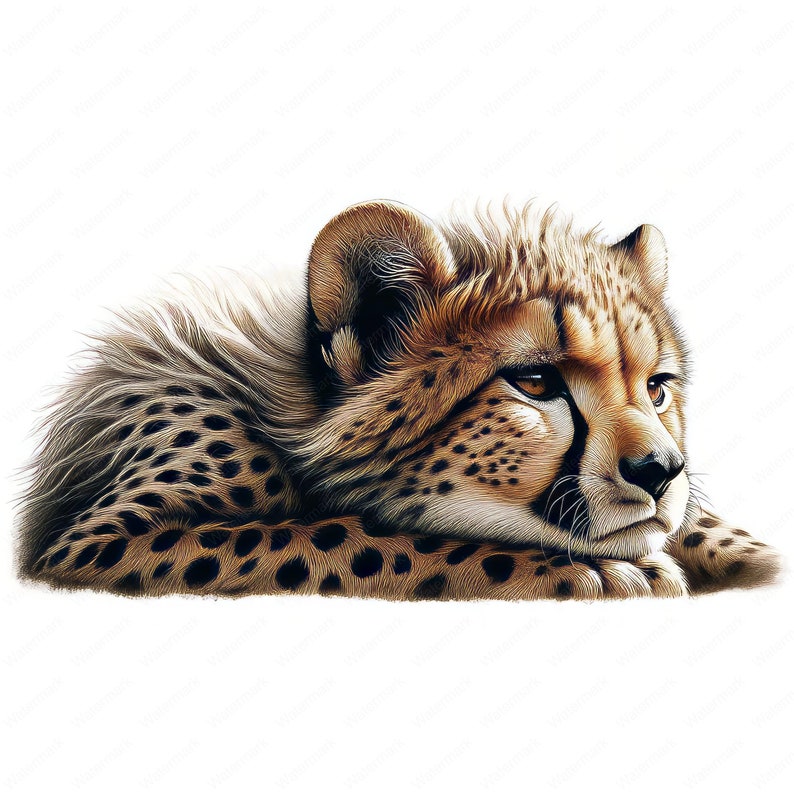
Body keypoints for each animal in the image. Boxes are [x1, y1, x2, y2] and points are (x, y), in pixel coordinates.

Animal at [15, 199, 781, 600]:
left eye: (656, 387)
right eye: (536, 381)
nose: (662, 471)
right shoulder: (92, 544)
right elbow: (356, 537)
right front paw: (596, 570)